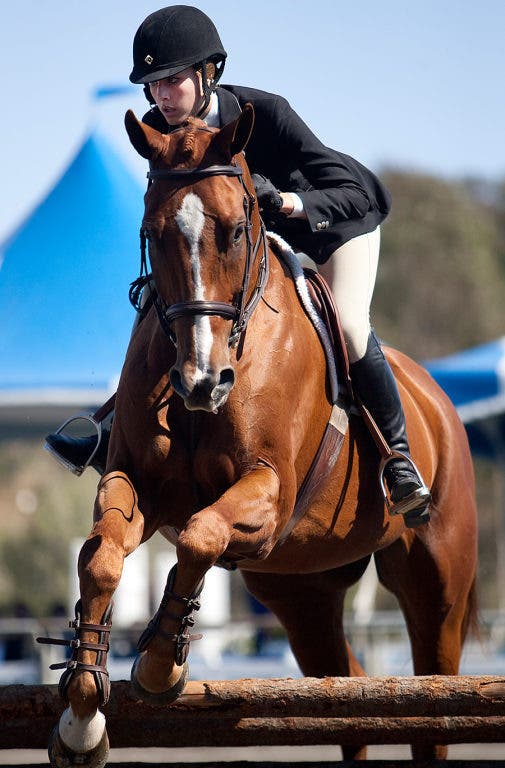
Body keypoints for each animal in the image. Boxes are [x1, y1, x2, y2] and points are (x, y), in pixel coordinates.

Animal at [43, 103, 478, 766]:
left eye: (235, 230)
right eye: (152, 231)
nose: (202, 381)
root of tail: (437, 400)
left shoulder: (268, 495)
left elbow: (200, 536)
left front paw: (160, 667)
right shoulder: (137, 482)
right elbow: (102, 558)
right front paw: (82, 717)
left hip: (438, 584)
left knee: (431, 698)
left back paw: (405, 478)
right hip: (301, 590)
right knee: (347, 693)